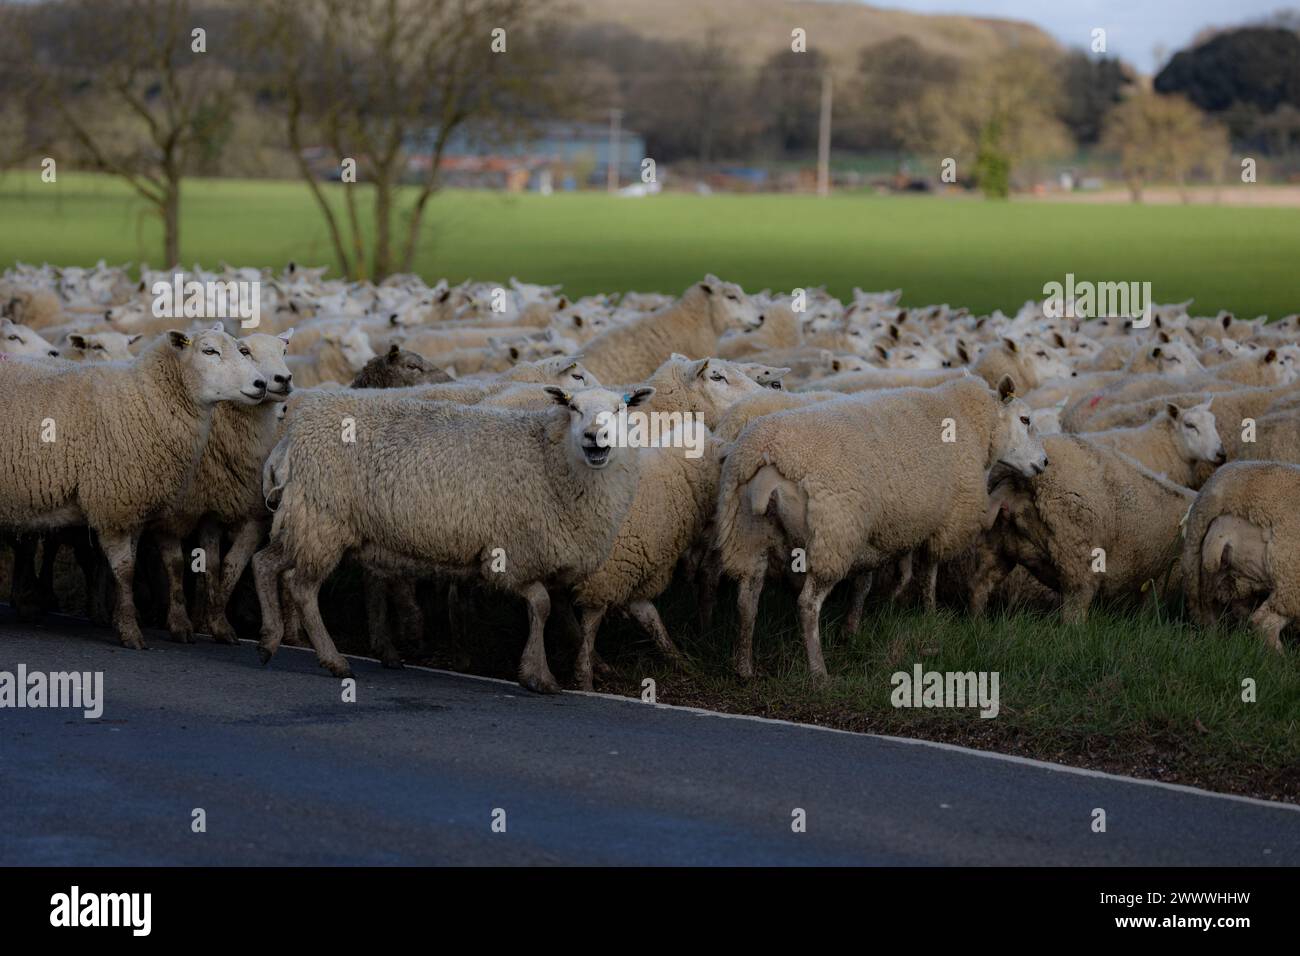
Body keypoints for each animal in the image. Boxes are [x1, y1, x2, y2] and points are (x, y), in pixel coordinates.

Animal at [0, 327, 265, 649]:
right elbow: (125, 570)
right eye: (209, 351)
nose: (261, 384)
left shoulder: (134, 507)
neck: (146, 399)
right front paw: (130, 631)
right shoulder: (114, 502)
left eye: (242, 350)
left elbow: (129, 566)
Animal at [251, 386, 653, 691]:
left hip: (307, 522)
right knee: (301, 586)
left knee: (264, 563)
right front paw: (538, 676)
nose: (594, 437)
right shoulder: (511, 555)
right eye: (572, 407)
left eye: (620, 407)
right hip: (321, 520)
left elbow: (550, 610)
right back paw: (333, 660)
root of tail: (290, 438)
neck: (548, 456)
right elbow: (540, 606)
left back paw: (269, 640)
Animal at [715, 375, 1047, 679]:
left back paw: (743, 668)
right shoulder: (943, 522)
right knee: (808, 604)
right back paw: (819, 673)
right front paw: (928, 614)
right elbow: (928, 573)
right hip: (833, 533)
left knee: (747, 598)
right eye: (1025, 419)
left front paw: (854, 627)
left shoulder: (880, 531)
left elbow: (868, 582)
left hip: (746, 532)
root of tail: (770, 453)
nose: (1044, 462)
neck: (971, 423)